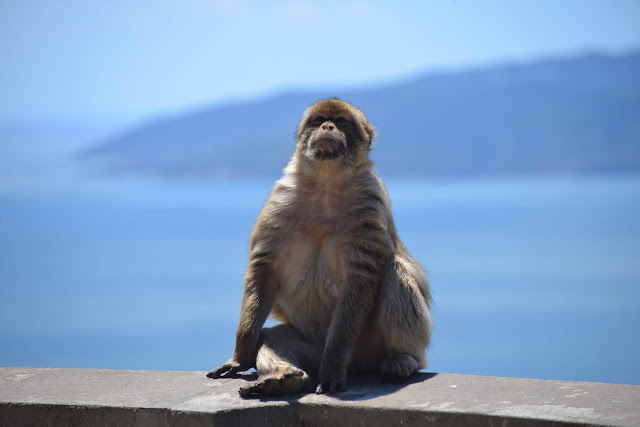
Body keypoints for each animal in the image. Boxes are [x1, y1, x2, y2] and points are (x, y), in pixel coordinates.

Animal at [207, 98, 432, 396]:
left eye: (341, 121)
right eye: (318, 119)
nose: (327, 126)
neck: (326, 183)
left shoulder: (370, 203)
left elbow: (360, 278)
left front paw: (332, 369)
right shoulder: (280, 201)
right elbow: (264, 270)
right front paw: (240, 357)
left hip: (372, 346)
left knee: (393, 270)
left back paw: (403, 359)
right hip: (313, 346)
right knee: (269, 337)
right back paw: (283, 376)